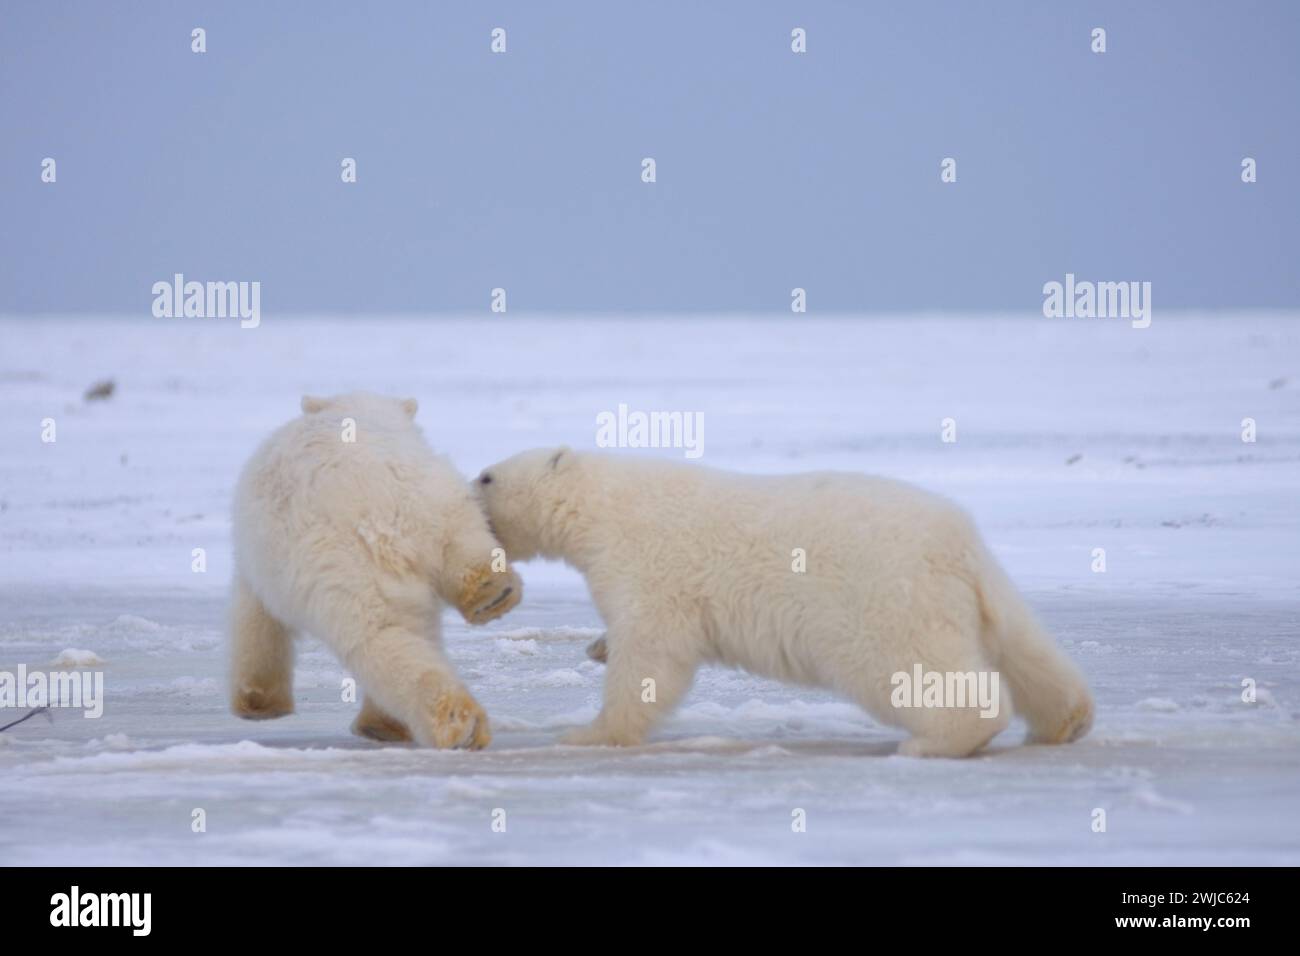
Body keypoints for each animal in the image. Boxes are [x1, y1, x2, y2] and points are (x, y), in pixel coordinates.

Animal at [228, 392, 521, 748]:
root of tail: (383, 502)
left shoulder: (258, 557)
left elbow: (255, 620)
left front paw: (257, 702)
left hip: (341, 561)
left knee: (377, 634)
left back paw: (441, 724)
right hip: (441, 500)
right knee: (455, 560)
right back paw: (491, 595)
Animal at [474, 448, 1094, 757]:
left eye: (486, 477)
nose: (467, 489)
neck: (602, 505)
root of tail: (954, 542)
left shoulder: (647, 566)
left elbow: (652, 654)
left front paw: (591, 733)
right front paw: (596, 649)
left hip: (881, 600)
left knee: (914, 668)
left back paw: (932, 741)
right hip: (982, 588)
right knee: (1027, 649)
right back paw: (1064, 722)